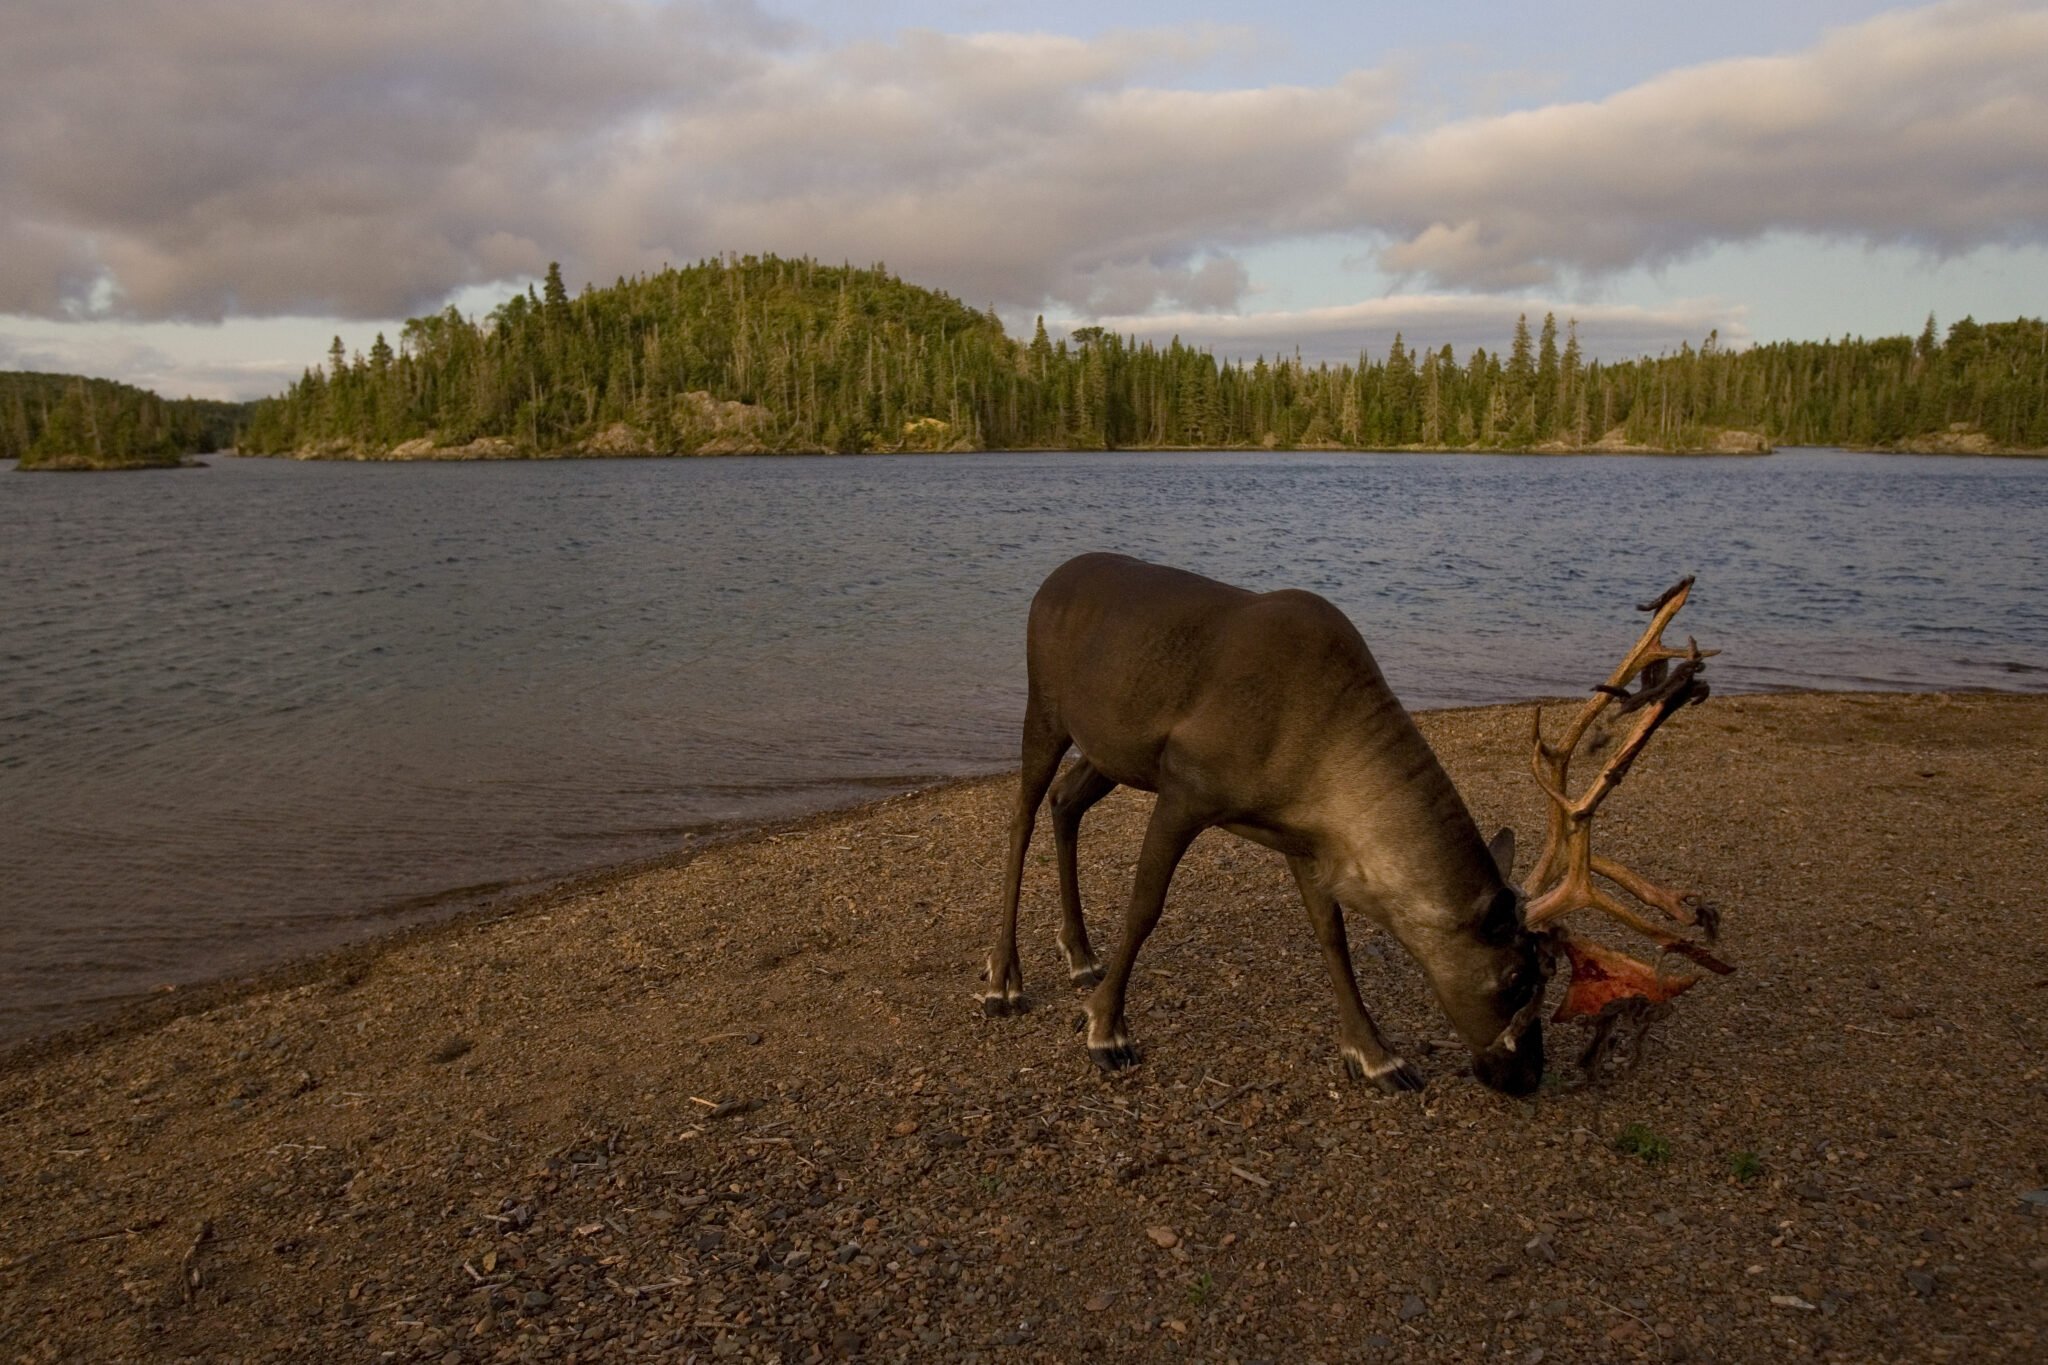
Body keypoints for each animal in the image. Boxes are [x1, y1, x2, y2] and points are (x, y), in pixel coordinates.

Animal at [980, 553, 1727, 1096]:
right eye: (1520, 976)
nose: (1528, 1075)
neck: (1324, 763)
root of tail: (1050, 579)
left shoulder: (1300, 836)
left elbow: (1332, 935)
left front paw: (1376, 1056)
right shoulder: (1186, 790)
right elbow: (1144, 908)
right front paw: (1106, 1029)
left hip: (1111, 752)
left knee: (1066, 802)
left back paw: (1080, 954)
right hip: (1045, 710)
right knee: (1022, 815)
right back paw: (1003, 979)